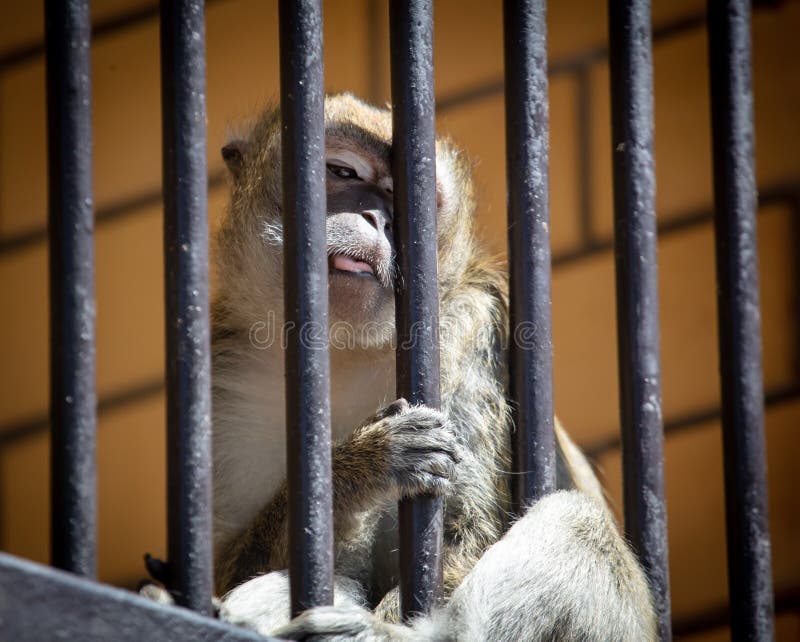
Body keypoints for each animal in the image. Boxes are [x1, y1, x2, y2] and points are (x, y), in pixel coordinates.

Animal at [205, 93, 656, 640]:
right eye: (342, 172)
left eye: (410, 200)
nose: (379, 220)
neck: (345, 351)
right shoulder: (227, 377)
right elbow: (230, 566)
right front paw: (360, 468)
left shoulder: (471, 330)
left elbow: (465, 535)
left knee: (578, 524)